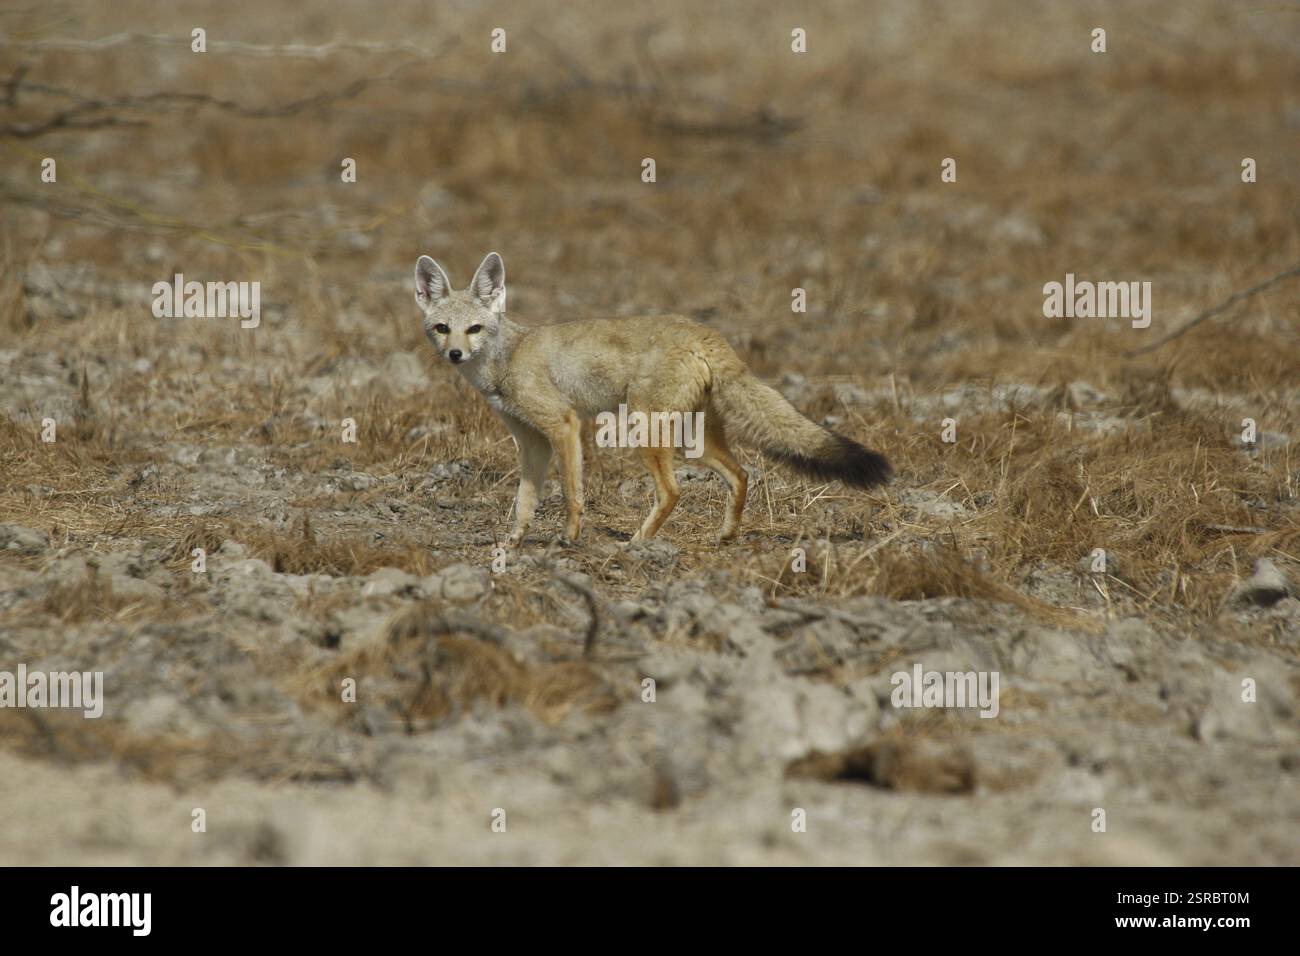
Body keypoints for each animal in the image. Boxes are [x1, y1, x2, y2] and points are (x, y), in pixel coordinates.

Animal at [414, 251, 891, 546]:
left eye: (474, 329)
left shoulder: (563, 425)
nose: (455, 354)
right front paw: (512, 543)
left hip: (647, 432)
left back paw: (640, 541)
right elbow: (524, 501)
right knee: (741, 475)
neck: (508, 356)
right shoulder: (531, 441)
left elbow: (571, 491)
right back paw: (725, 536)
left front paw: (570, 537)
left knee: (673, 490)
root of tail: (703, 331)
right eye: (443, 329)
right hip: (693, 440)